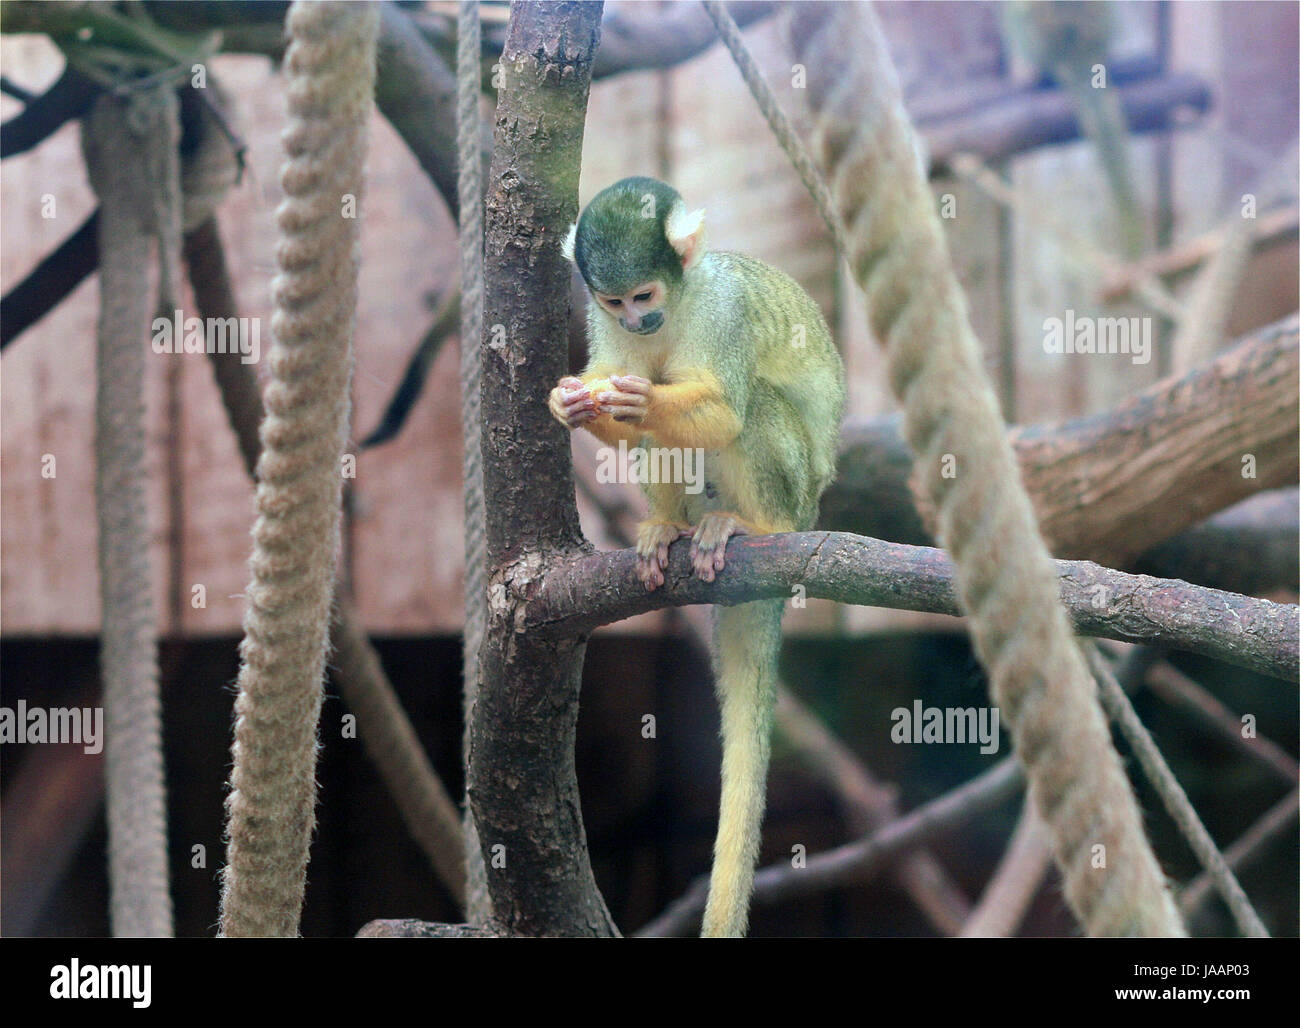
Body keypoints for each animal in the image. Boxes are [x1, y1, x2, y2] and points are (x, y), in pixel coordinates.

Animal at [549, 177, 845, 937]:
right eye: (615, 303)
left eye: (645, 294)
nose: (639, 322)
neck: (678, 306)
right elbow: (622, 404)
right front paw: (574, 403)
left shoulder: (724, 312)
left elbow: (724, 410)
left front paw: (638, 399)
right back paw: (667, 530)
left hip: (801, 493)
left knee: (751, 408)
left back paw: (747, 524)